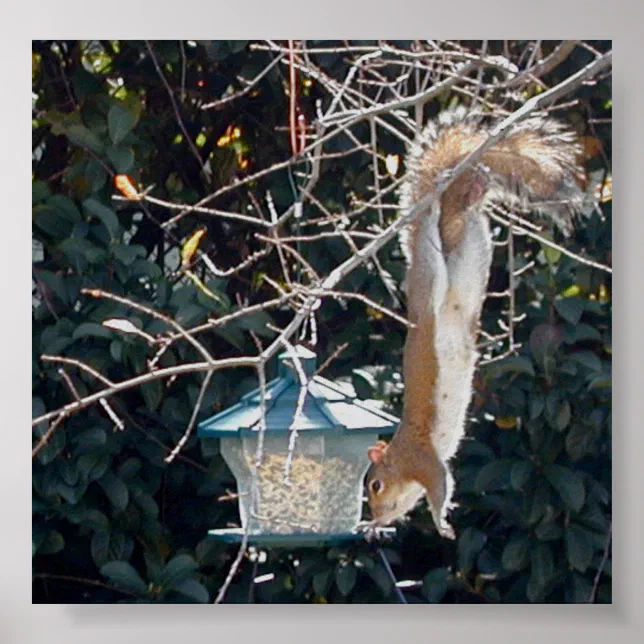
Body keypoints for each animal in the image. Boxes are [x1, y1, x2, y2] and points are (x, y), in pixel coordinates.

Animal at [365, 107, 586, 539]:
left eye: (375, 485)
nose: (374, 515)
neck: (400, 459)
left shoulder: (423, 460)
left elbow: (439, 486)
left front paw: (440, 522)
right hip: (473, 250)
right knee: (468, 222)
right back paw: (472, 192)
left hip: (427, 282)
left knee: (427, 242)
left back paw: (434, 202)